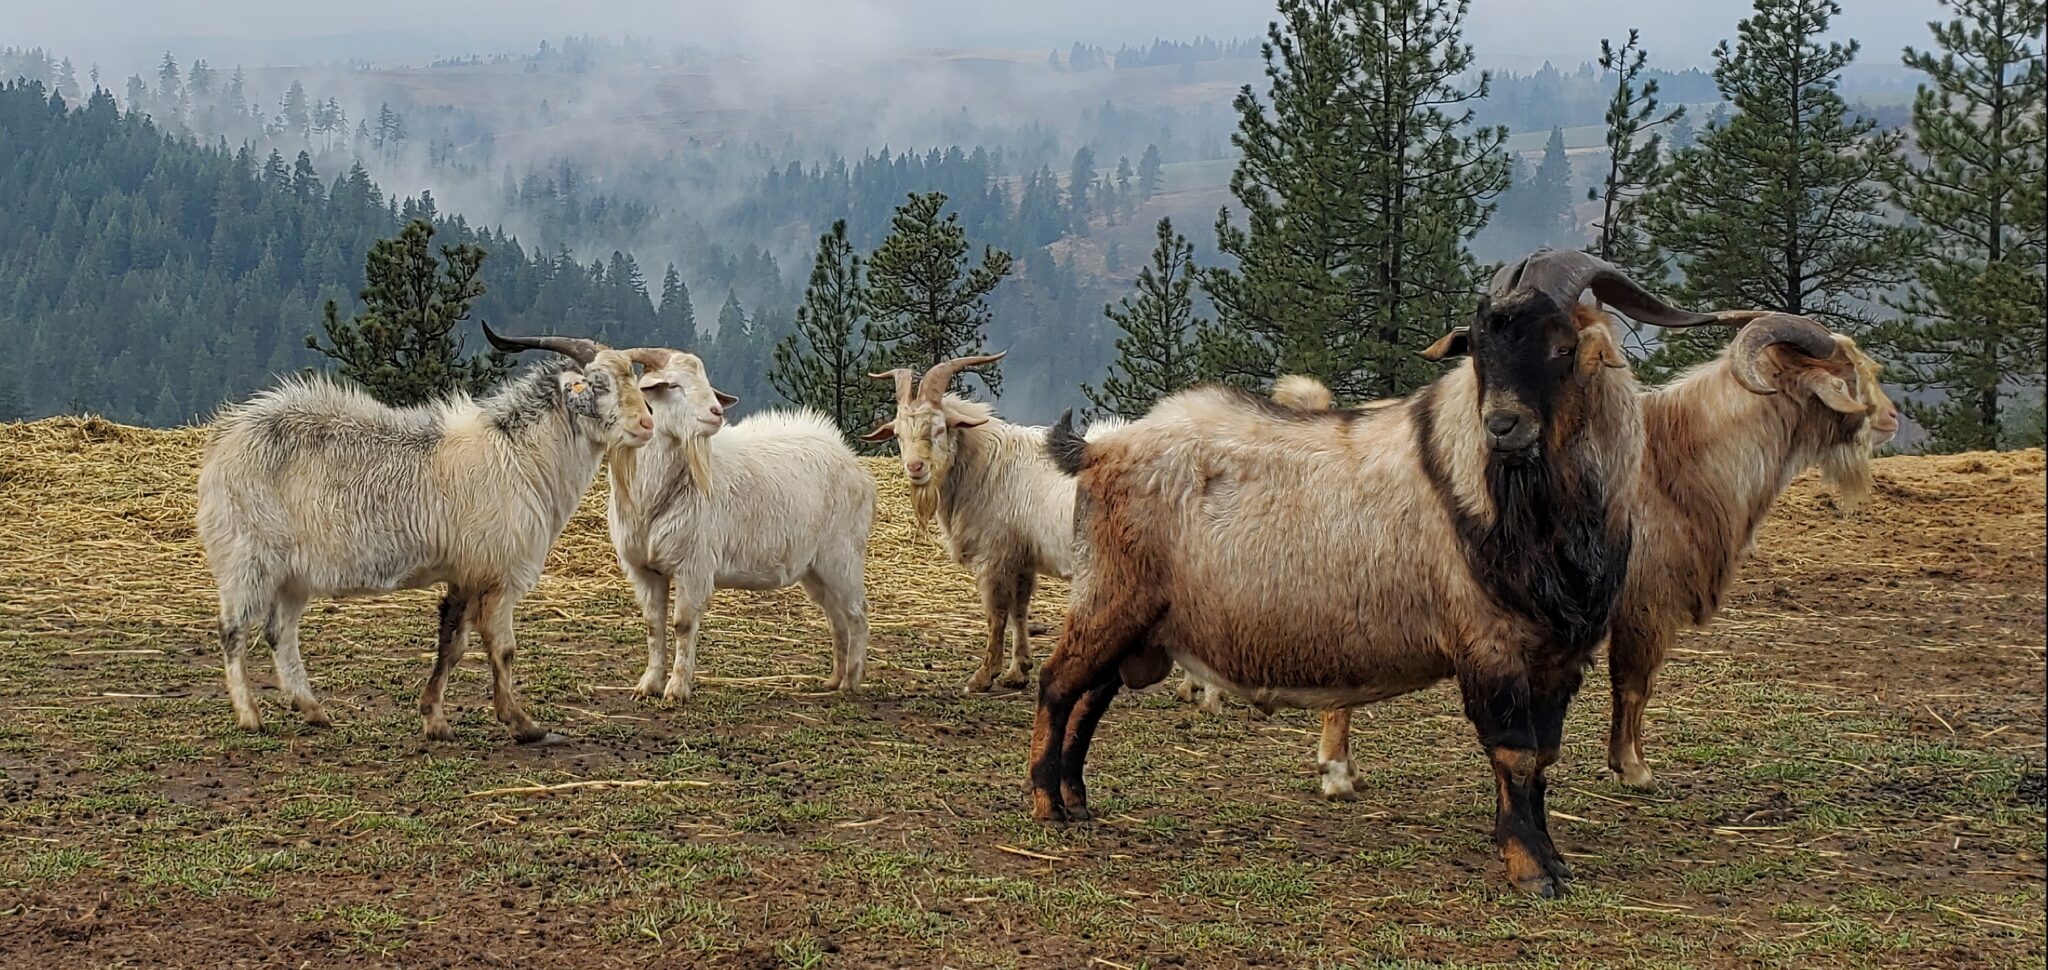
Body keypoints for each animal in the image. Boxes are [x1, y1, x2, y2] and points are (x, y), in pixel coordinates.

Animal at [196, 326, 655, 743]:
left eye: (632, 378)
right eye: (599, 384)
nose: (647, 423)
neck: (519, 457)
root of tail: (224, 444)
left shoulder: (465, 572)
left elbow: (451, 641)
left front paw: (434, 719)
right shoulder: (495, 573)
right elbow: (502, 648)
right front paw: (523, 725)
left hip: (293, 573)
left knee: (280, 632)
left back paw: (313, 710)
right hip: (247, 557)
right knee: (233, 629)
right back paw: (250, 716)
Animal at [608, 348, 875, 702]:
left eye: (706, 382)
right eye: (673, 385)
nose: (716, 412)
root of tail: (848, 457)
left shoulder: (694, 566)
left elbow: (682, 625)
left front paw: (676, 689)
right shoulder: (643, 569)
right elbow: (653, 625)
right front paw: (648, 685)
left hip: (842, 555)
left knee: (857, 614)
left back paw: (851, 682)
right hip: (815, 568)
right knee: (836, 618)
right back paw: (834, 679)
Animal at [861, 353, 1120, 693]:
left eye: (939, 429)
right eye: (898, 434)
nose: (915, 467)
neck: (986, 465)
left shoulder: (994, 556)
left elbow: (996, 612)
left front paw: (984, 676)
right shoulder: (1021, 559)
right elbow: (1019, 609)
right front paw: (1018, 670)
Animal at [1031, 249, 1741, 897]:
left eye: (1562, 346)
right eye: (1480, 350)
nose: (1502, 427)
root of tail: (1099, 449)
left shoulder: (1560, 657)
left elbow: (1543, 757)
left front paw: (1553, 857)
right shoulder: (1489, 644)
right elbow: (1514, 753)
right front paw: (1530, 869)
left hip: (1137, 626)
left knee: (1092, 696)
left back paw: (1079, 799)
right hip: (1109, 600)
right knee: (1059, 684)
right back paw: (1047, 805)